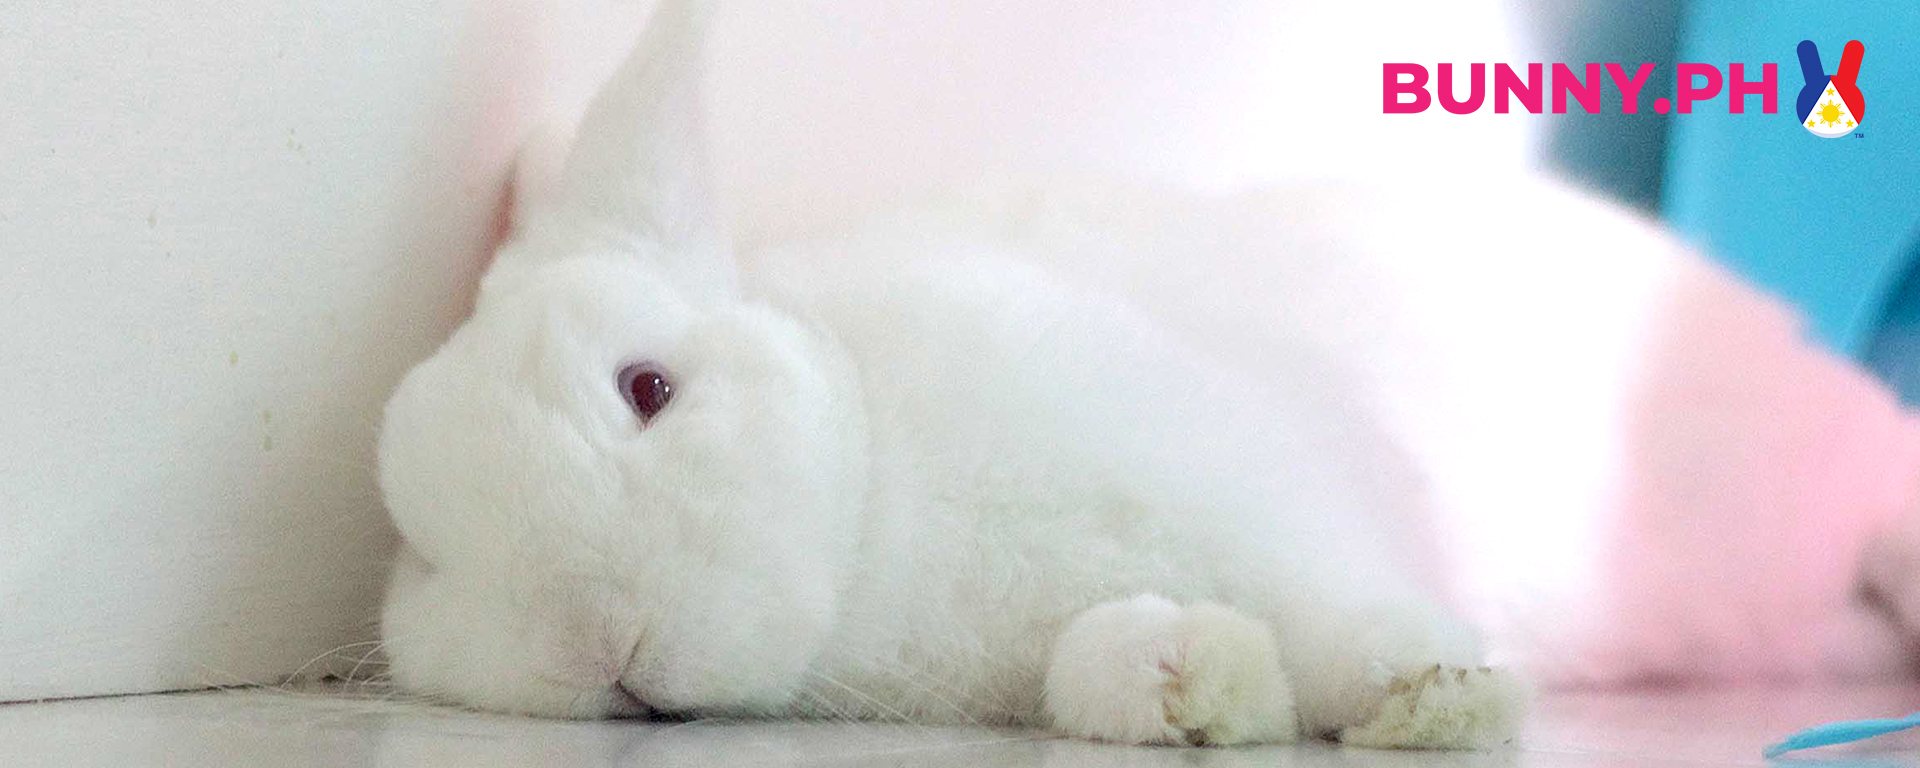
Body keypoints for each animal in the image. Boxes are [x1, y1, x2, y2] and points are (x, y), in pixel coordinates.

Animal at [375, 0, 1526, 748]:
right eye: (425, 557)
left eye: (647, 388)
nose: (599, 648)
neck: (880, 497)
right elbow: (1098, 667)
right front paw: (1196, 678)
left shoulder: (1244, 478)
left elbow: (1334, 600)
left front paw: (1435, 694)